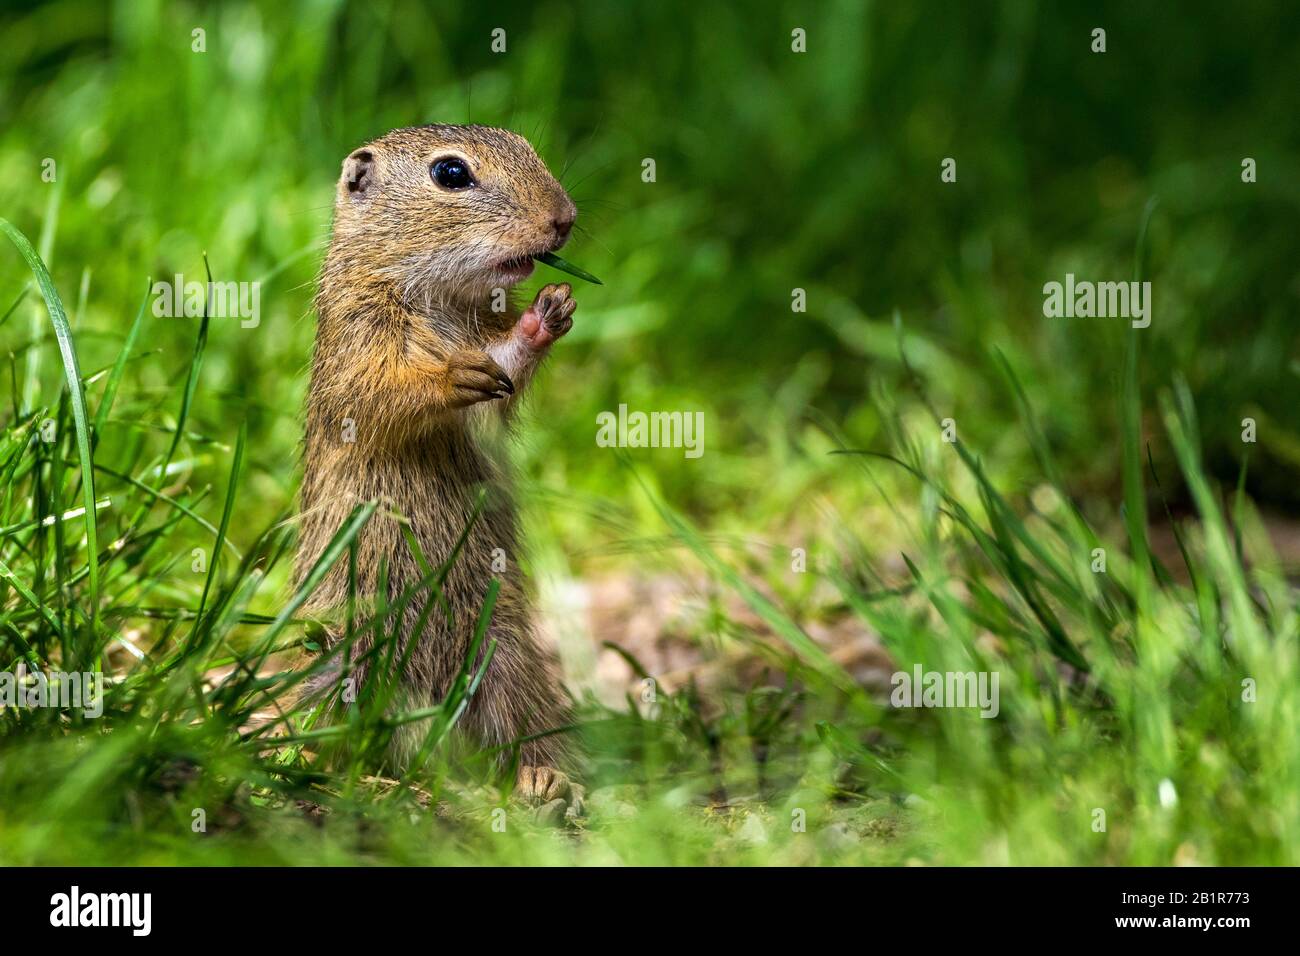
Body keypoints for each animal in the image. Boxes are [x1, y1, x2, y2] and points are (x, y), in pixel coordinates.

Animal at [295, 124, 582, 810]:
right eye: (451, 174)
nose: (564, 220)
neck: (436, 295)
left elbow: (503, 369)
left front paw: (549, 311)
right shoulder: (359, 340)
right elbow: (388, 391)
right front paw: (451, 374)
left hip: (505, 651)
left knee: (518, 728)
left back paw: (544, 779)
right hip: (341, 654)